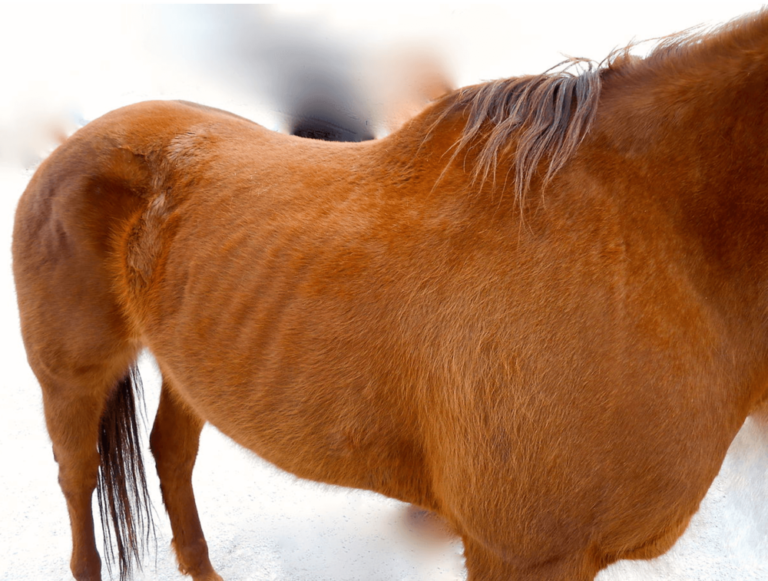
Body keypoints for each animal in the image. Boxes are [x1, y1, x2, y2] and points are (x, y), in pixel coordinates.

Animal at [13, 9, 768, 581]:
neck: (652, 234)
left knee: (172, 454)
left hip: (185, 362)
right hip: (72, 380)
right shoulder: (520, 553)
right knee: (79, 481)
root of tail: (74, 143)